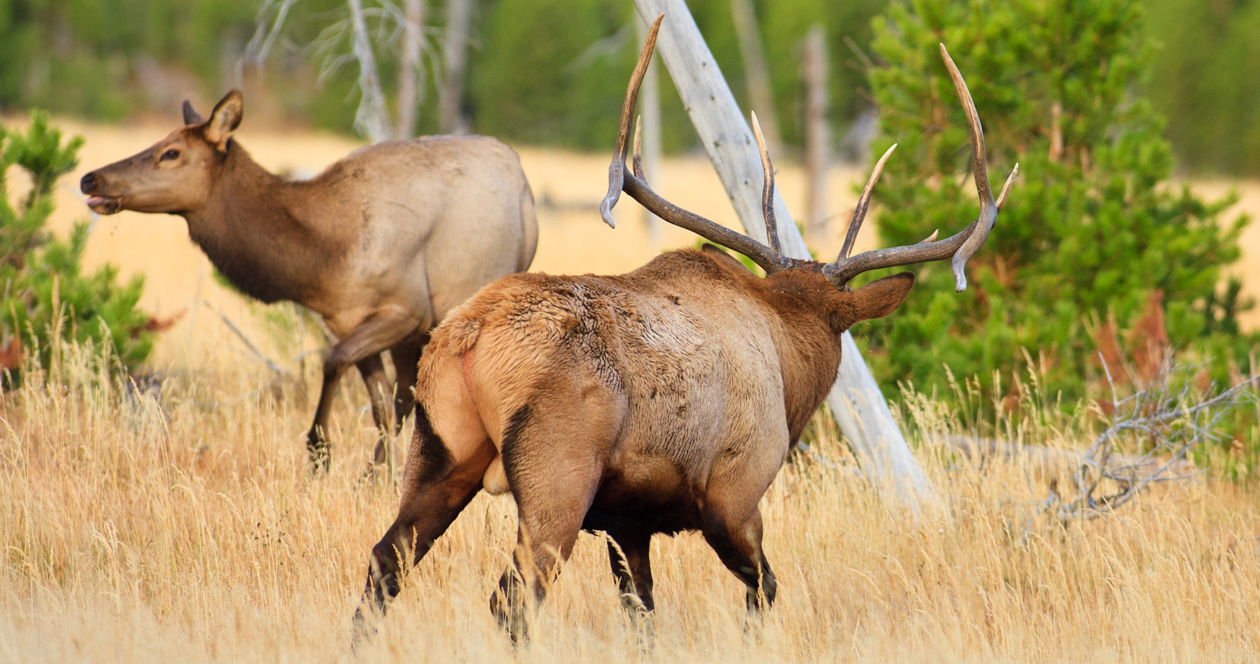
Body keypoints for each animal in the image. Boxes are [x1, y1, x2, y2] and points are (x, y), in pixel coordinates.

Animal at [79, 91, 539, 471]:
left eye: (171, 152)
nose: (91, 178)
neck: (320, 260)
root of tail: (523, 181)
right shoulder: (351, 320)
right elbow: (382, 405)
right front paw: (375, 477)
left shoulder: (406, 310)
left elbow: (333, 361)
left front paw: (320, 450)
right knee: (408, 399)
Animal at [353, 15, 1017, 643]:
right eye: (837, 328)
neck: (787, 364)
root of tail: (469, 337)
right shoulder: (735, 493)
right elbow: (764, 591)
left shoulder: (627, 523)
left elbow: (643, 615)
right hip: (556, 472)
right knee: (512, 599)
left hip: (439, 448)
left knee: (384, 562)